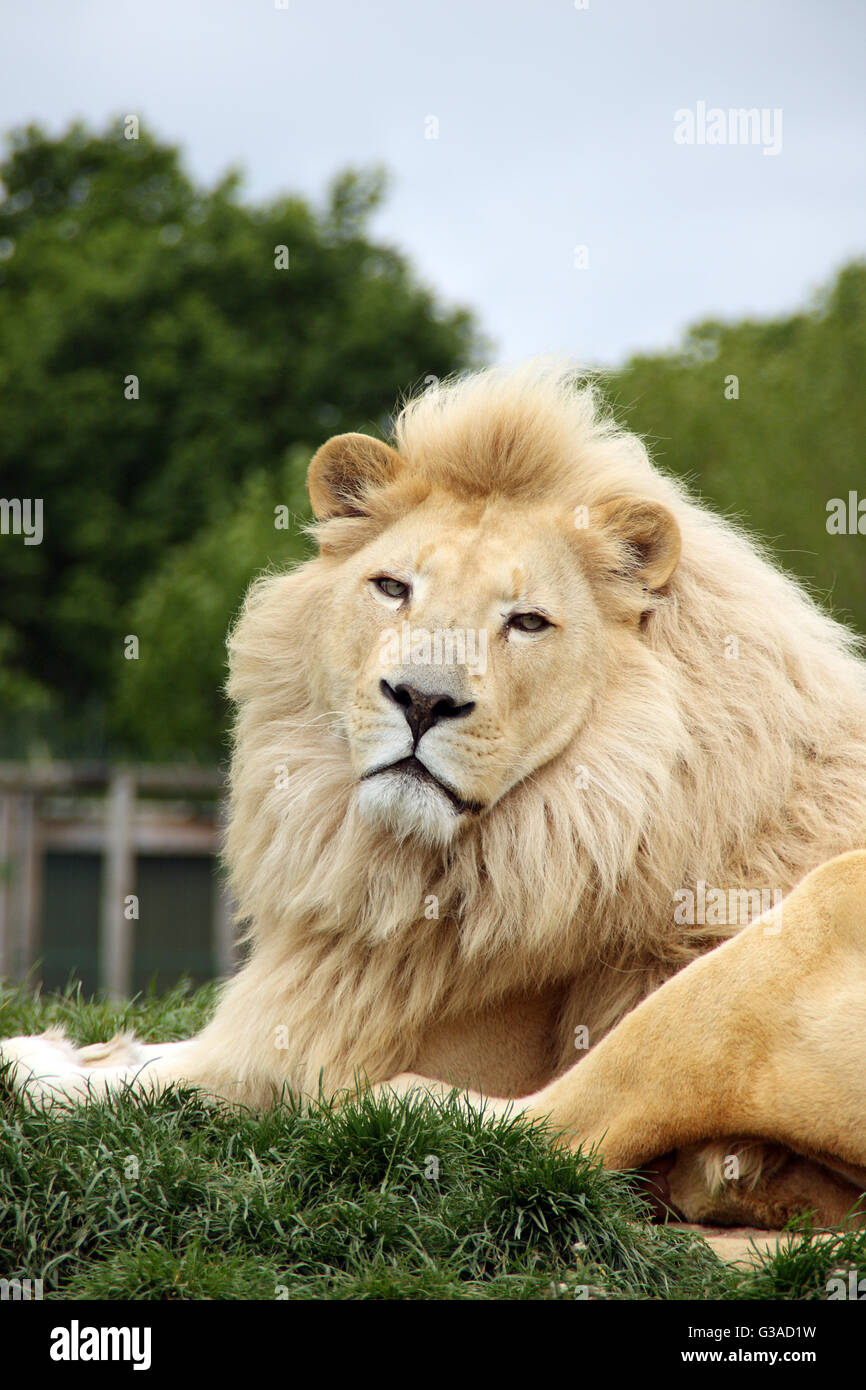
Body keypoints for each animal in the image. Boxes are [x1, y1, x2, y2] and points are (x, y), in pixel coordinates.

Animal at [4, 359, 866, 1231]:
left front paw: (42, 1063)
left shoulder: (310, 1039)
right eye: (392, 587)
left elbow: (156, 1081)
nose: (421, 700)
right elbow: (148, 1054)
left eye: (527, 622)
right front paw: (72, 1045)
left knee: (541, 1131)